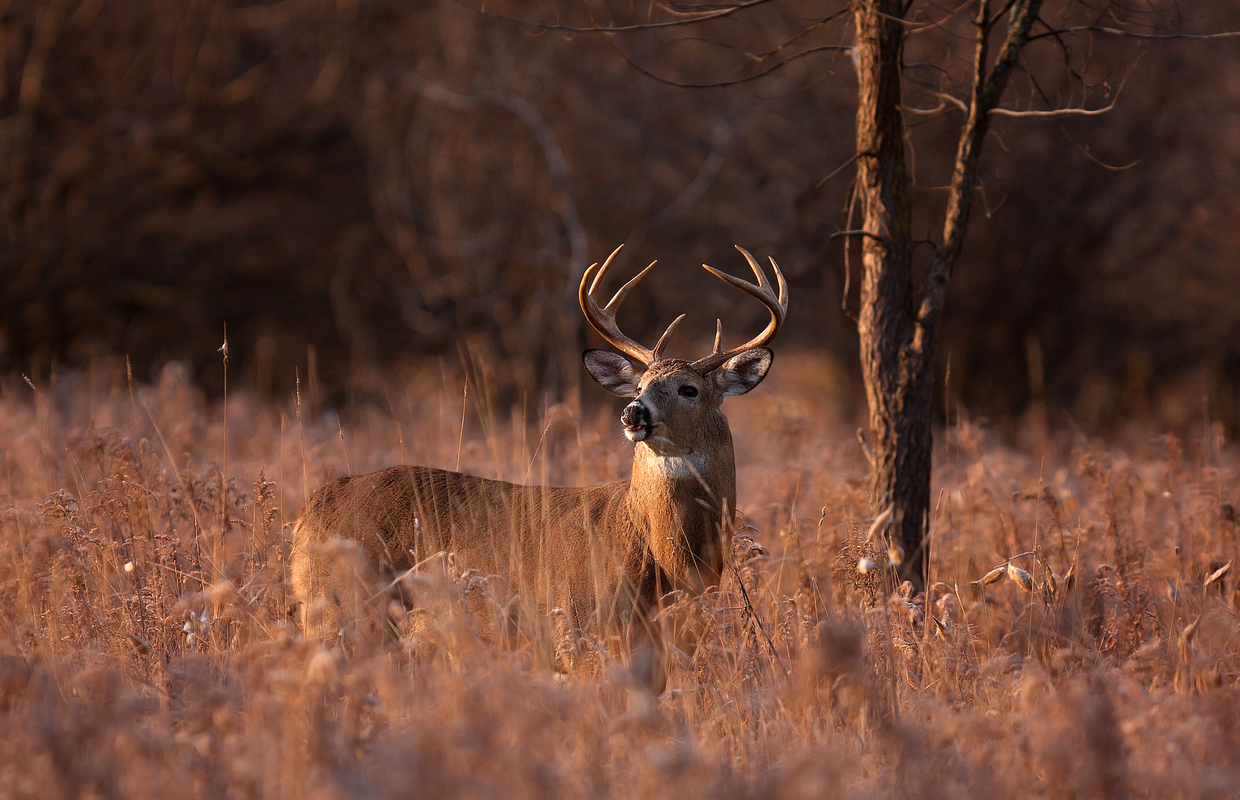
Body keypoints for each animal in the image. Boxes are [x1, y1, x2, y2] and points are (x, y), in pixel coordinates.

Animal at [290, 244, 787, 690]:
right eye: (641, 384)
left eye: (689, 389)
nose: (633, 412)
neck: (666, 562)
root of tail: (310, 510)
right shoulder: (582, 633)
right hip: (343, 609)